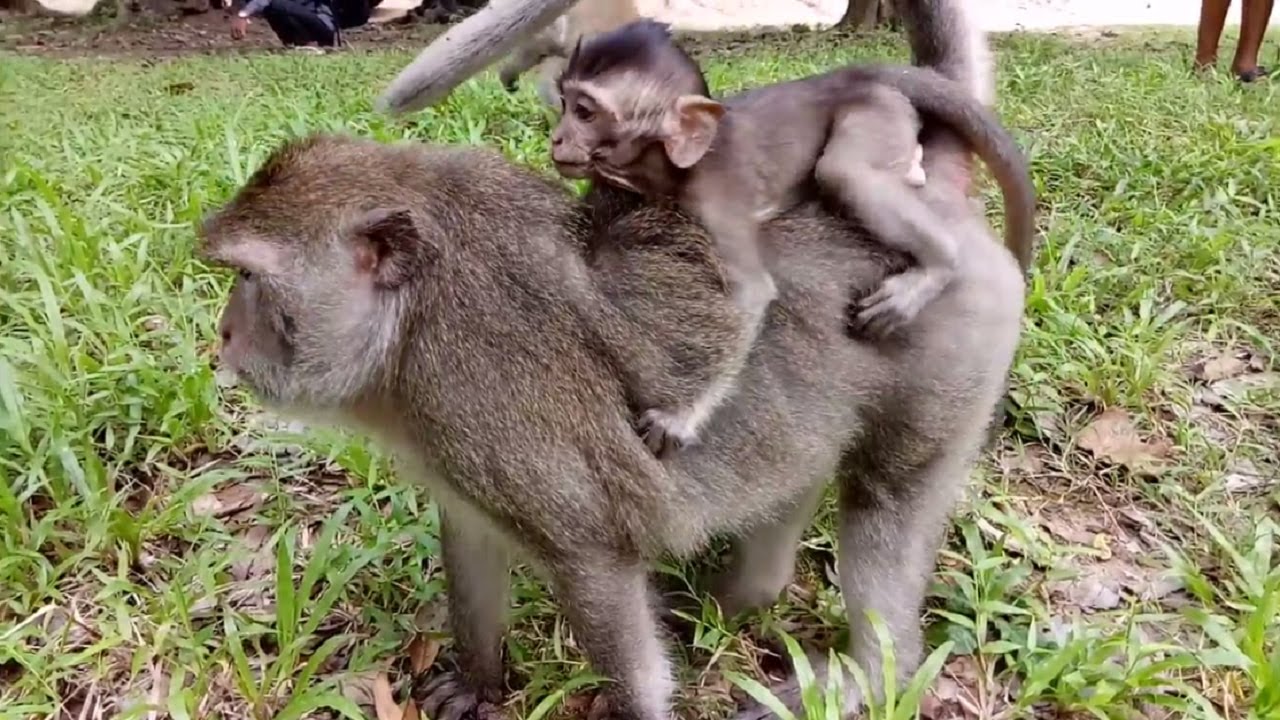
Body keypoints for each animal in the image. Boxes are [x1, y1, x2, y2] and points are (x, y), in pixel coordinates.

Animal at [547, 18, 1035, 455]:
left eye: (585, 112)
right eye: (564, 103)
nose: (556, 138)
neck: (669, 163)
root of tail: (849, 75)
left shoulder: (714, 204)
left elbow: (751, 293)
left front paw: (683, 414)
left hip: (880, 112)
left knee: (843, 171)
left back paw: (937, 264)